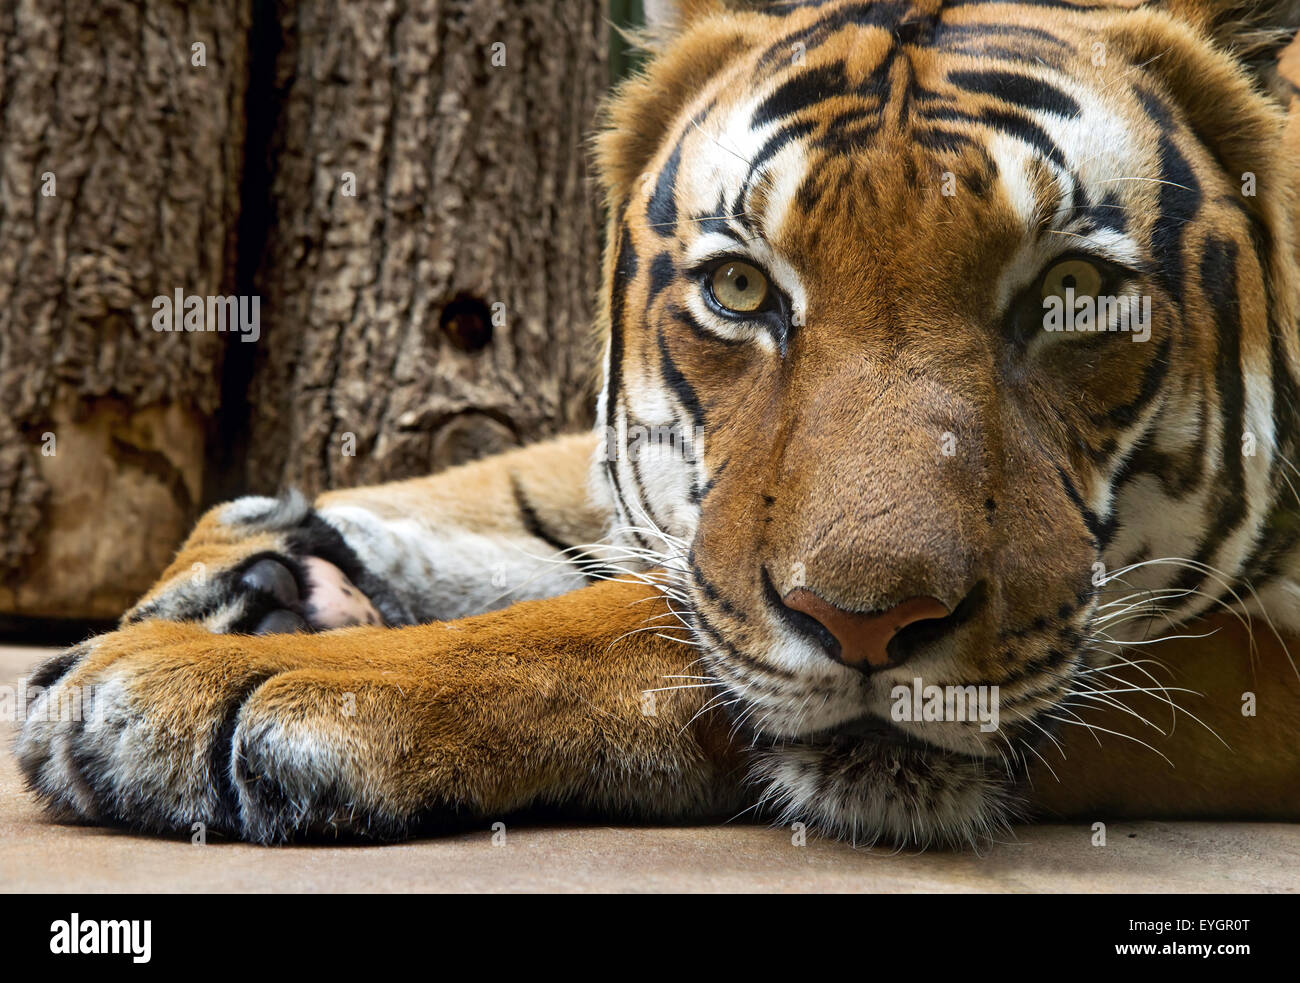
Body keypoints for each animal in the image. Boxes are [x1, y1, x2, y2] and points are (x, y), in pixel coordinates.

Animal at [16, 0, 1300, 849]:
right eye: (739, 290)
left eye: (1072, 296)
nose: (868, 625)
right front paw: (255, 569)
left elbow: (628, 628)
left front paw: (213, 671)